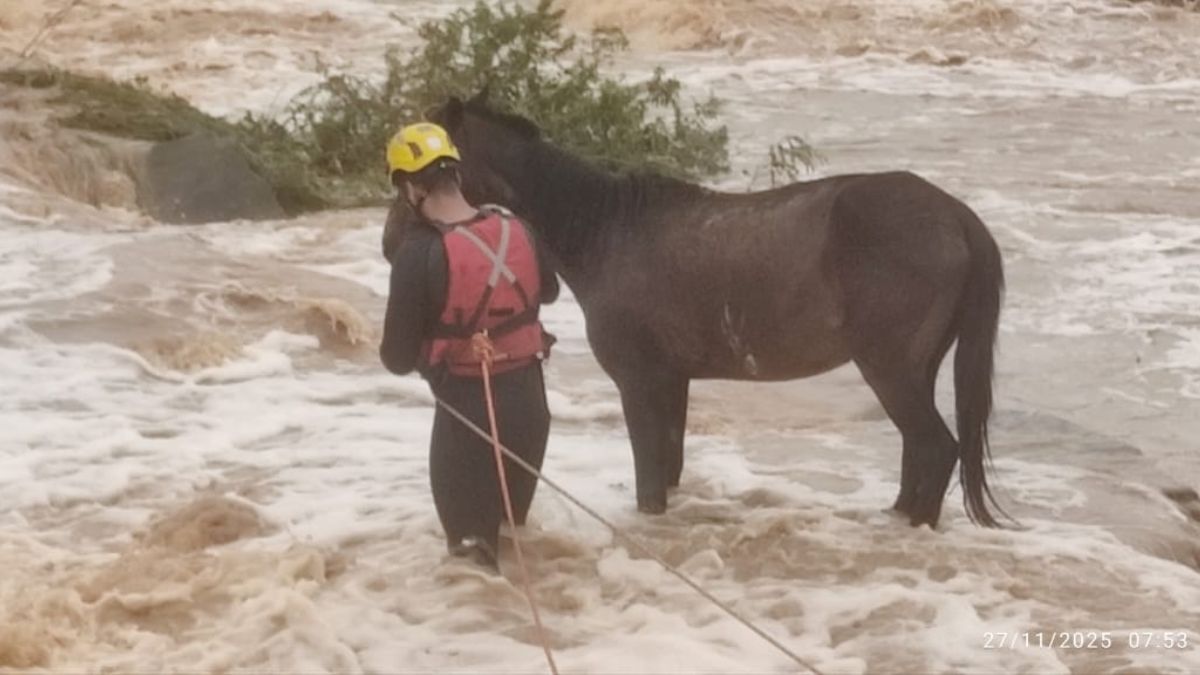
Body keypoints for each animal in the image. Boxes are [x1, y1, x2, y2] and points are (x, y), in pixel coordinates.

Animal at [403, 93, 1007, 529]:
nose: (401, 234)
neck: (608, 231)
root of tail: (957, 216)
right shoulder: (674, 381)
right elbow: (669, 465)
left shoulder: (640, 382)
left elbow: (650, 477)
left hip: (890, 369)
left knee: (935, 447)